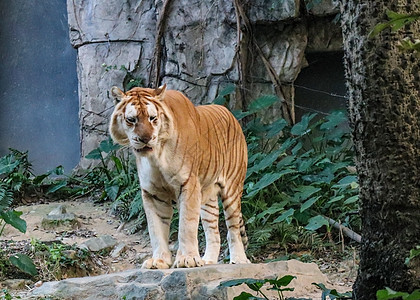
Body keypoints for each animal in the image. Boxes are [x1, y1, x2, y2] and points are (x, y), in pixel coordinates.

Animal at [108, 85, 249, 270]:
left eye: (153, 118)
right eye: (131, 119)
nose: (145, 139)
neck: (156, 156)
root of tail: (231, 114)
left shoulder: (188, 184)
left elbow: (186, 225)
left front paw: (187, 259)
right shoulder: (153, 193)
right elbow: (156, 229)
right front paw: (159, 261)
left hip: (232, 189)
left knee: (233, 228)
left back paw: (238, 259)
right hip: (208, 199)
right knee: (213, 232)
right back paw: (207, 261)